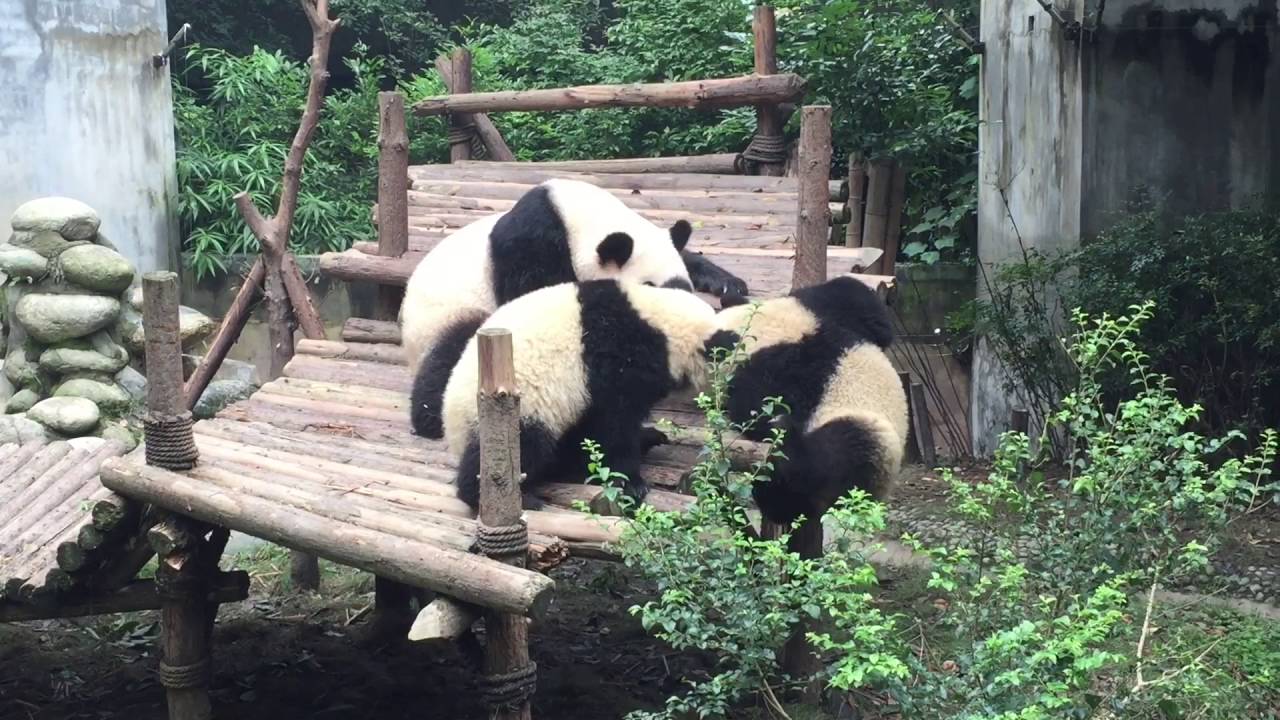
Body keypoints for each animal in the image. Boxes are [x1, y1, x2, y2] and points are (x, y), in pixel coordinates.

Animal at [402, 178, 746, 439]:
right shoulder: (531, 244)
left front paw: (729, 286)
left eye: (682, 285)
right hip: (450, 314)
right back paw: (430, 414)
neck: (573, 214)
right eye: (649, 286)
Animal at [437, 278, 717, 510]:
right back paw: (515, 497)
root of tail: (451, 422)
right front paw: (631, 482)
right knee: (518, 447)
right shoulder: (614, 362)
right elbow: (614, 427)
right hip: (514, 408)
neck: (660, 326)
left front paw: (649, 437)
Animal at [707, 275, 908, 525]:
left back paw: (786, 437)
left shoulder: (785, 366)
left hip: (872, 439)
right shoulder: (824, 314)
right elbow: (867, 311)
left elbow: (755, 407)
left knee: (837, 458)